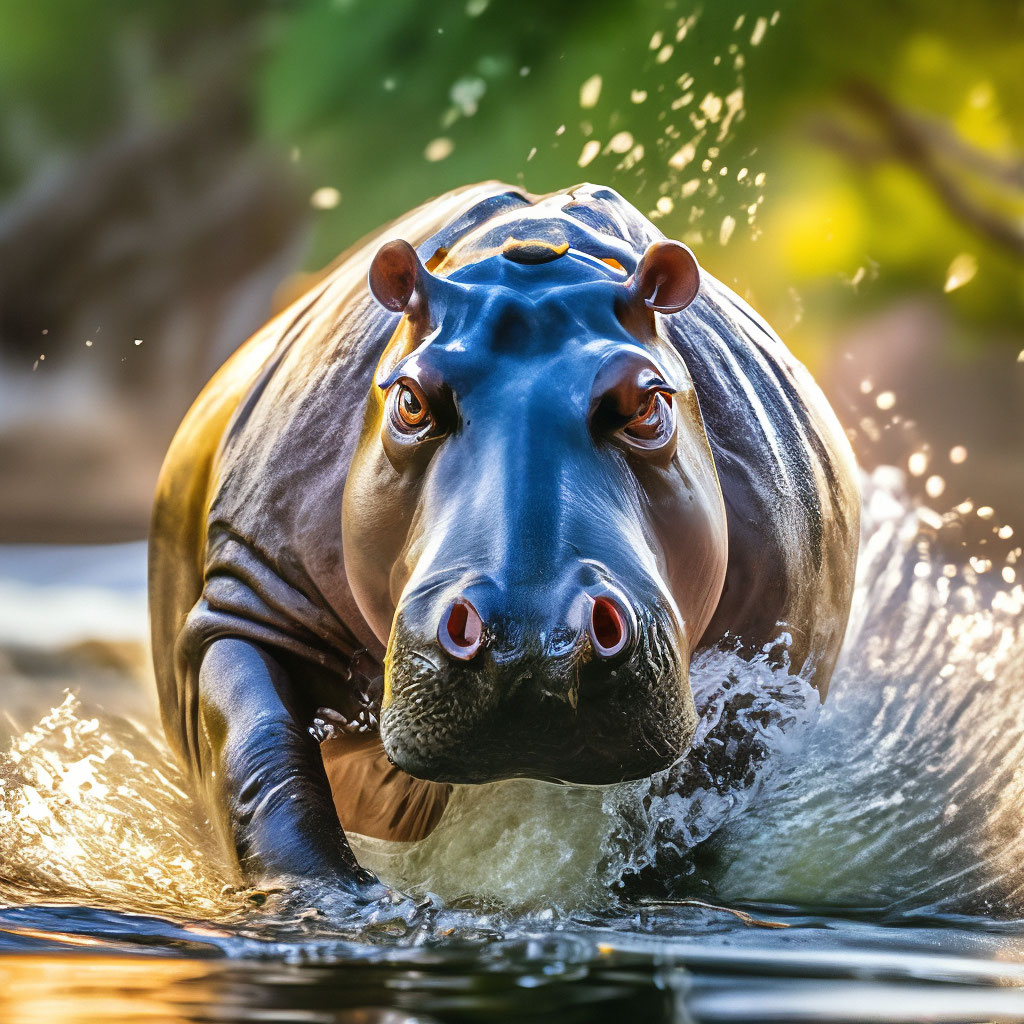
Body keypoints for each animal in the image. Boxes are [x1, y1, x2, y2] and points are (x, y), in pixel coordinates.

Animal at [149, 183, 859, 902]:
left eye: (647, 401)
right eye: (409, 397)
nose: (532, 638)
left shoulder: (762, 684)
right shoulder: (246, 598)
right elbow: (263, 766)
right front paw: (335, 903)